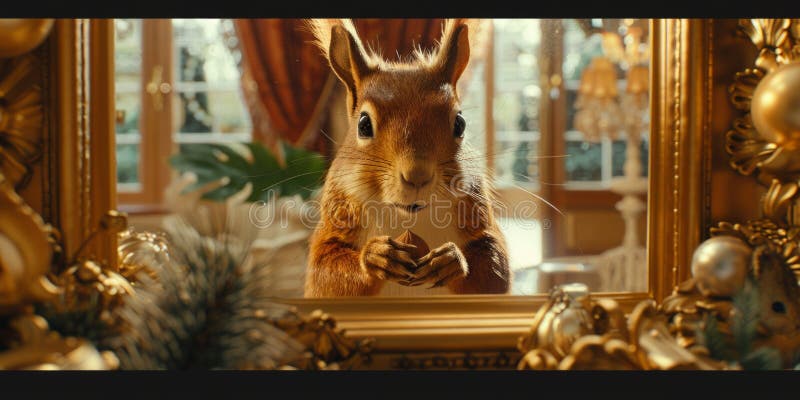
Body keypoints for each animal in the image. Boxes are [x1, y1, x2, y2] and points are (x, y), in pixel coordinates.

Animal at [304, 19, 511, 297]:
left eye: (460, 123)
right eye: (363, 124)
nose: (417, 176)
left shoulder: (478, 217)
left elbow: (495, 267)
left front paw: (452, 261)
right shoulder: (336, 220)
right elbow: (324, 272)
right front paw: (375, 257)